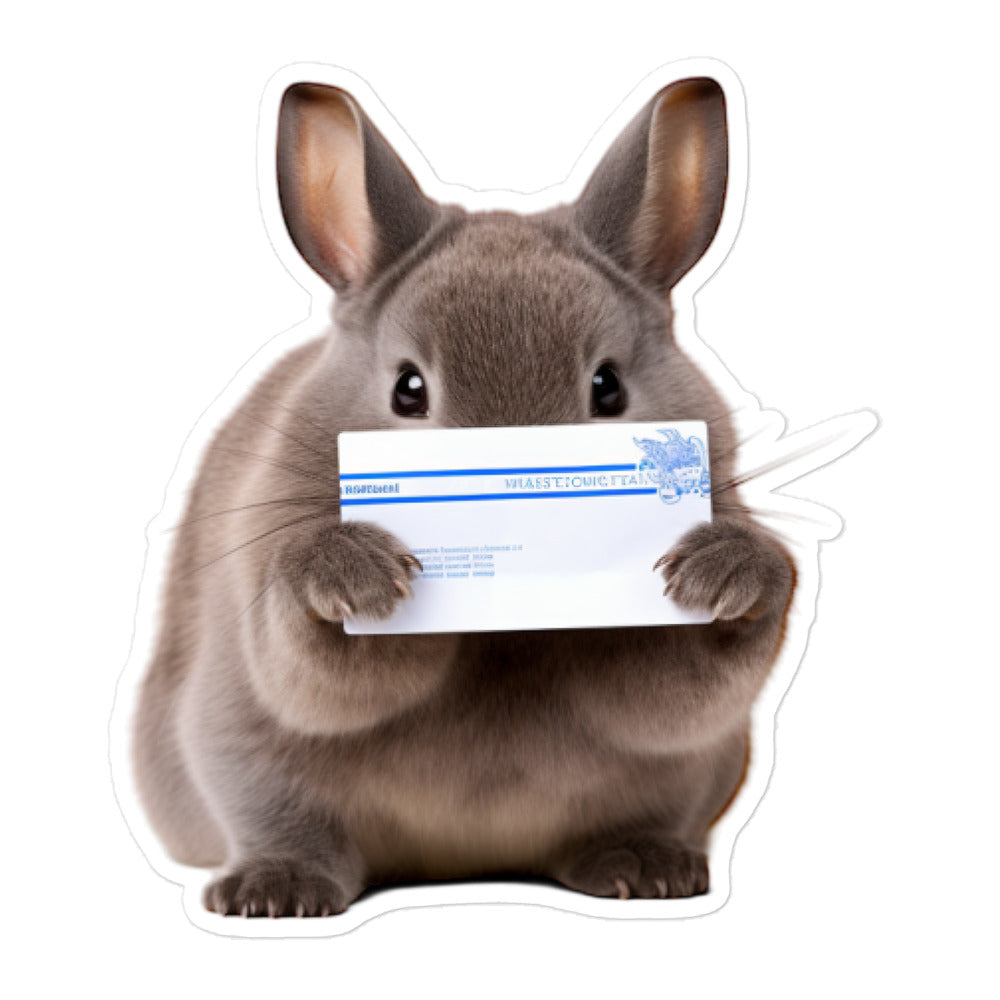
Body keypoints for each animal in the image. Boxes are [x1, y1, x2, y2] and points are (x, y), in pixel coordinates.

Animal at [132, 76, 795, 917]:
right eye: (408, 389)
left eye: (608, 387)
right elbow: (310, 666)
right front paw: (353, 575)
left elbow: (677, 685)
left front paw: (729, 572)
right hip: (236, 750)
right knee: (290, 827)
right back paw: (274, 890)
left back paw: (645, 869)